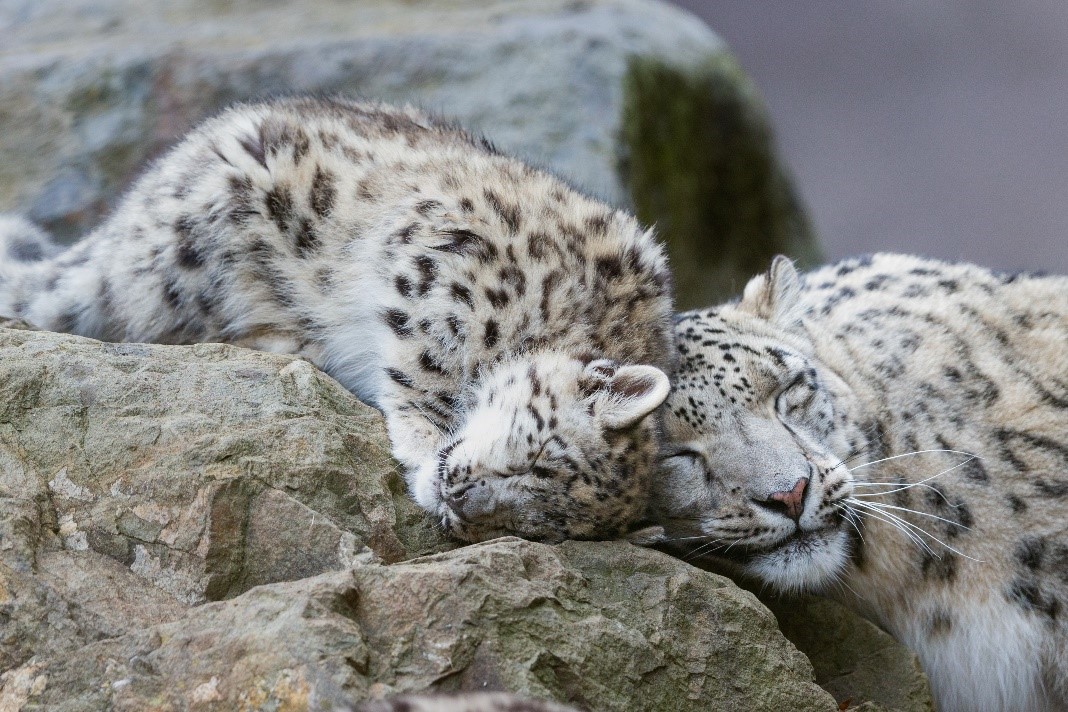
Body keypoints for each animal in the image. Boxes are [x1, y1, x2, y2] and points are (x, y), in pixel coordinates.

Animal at [0, 96, 675, 545]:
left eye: (541, 529)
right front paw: (421, 438)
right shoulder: (441, 255)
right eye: (542, 458)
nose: (460, 500)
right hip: (187, 243)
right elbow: (422, 357)